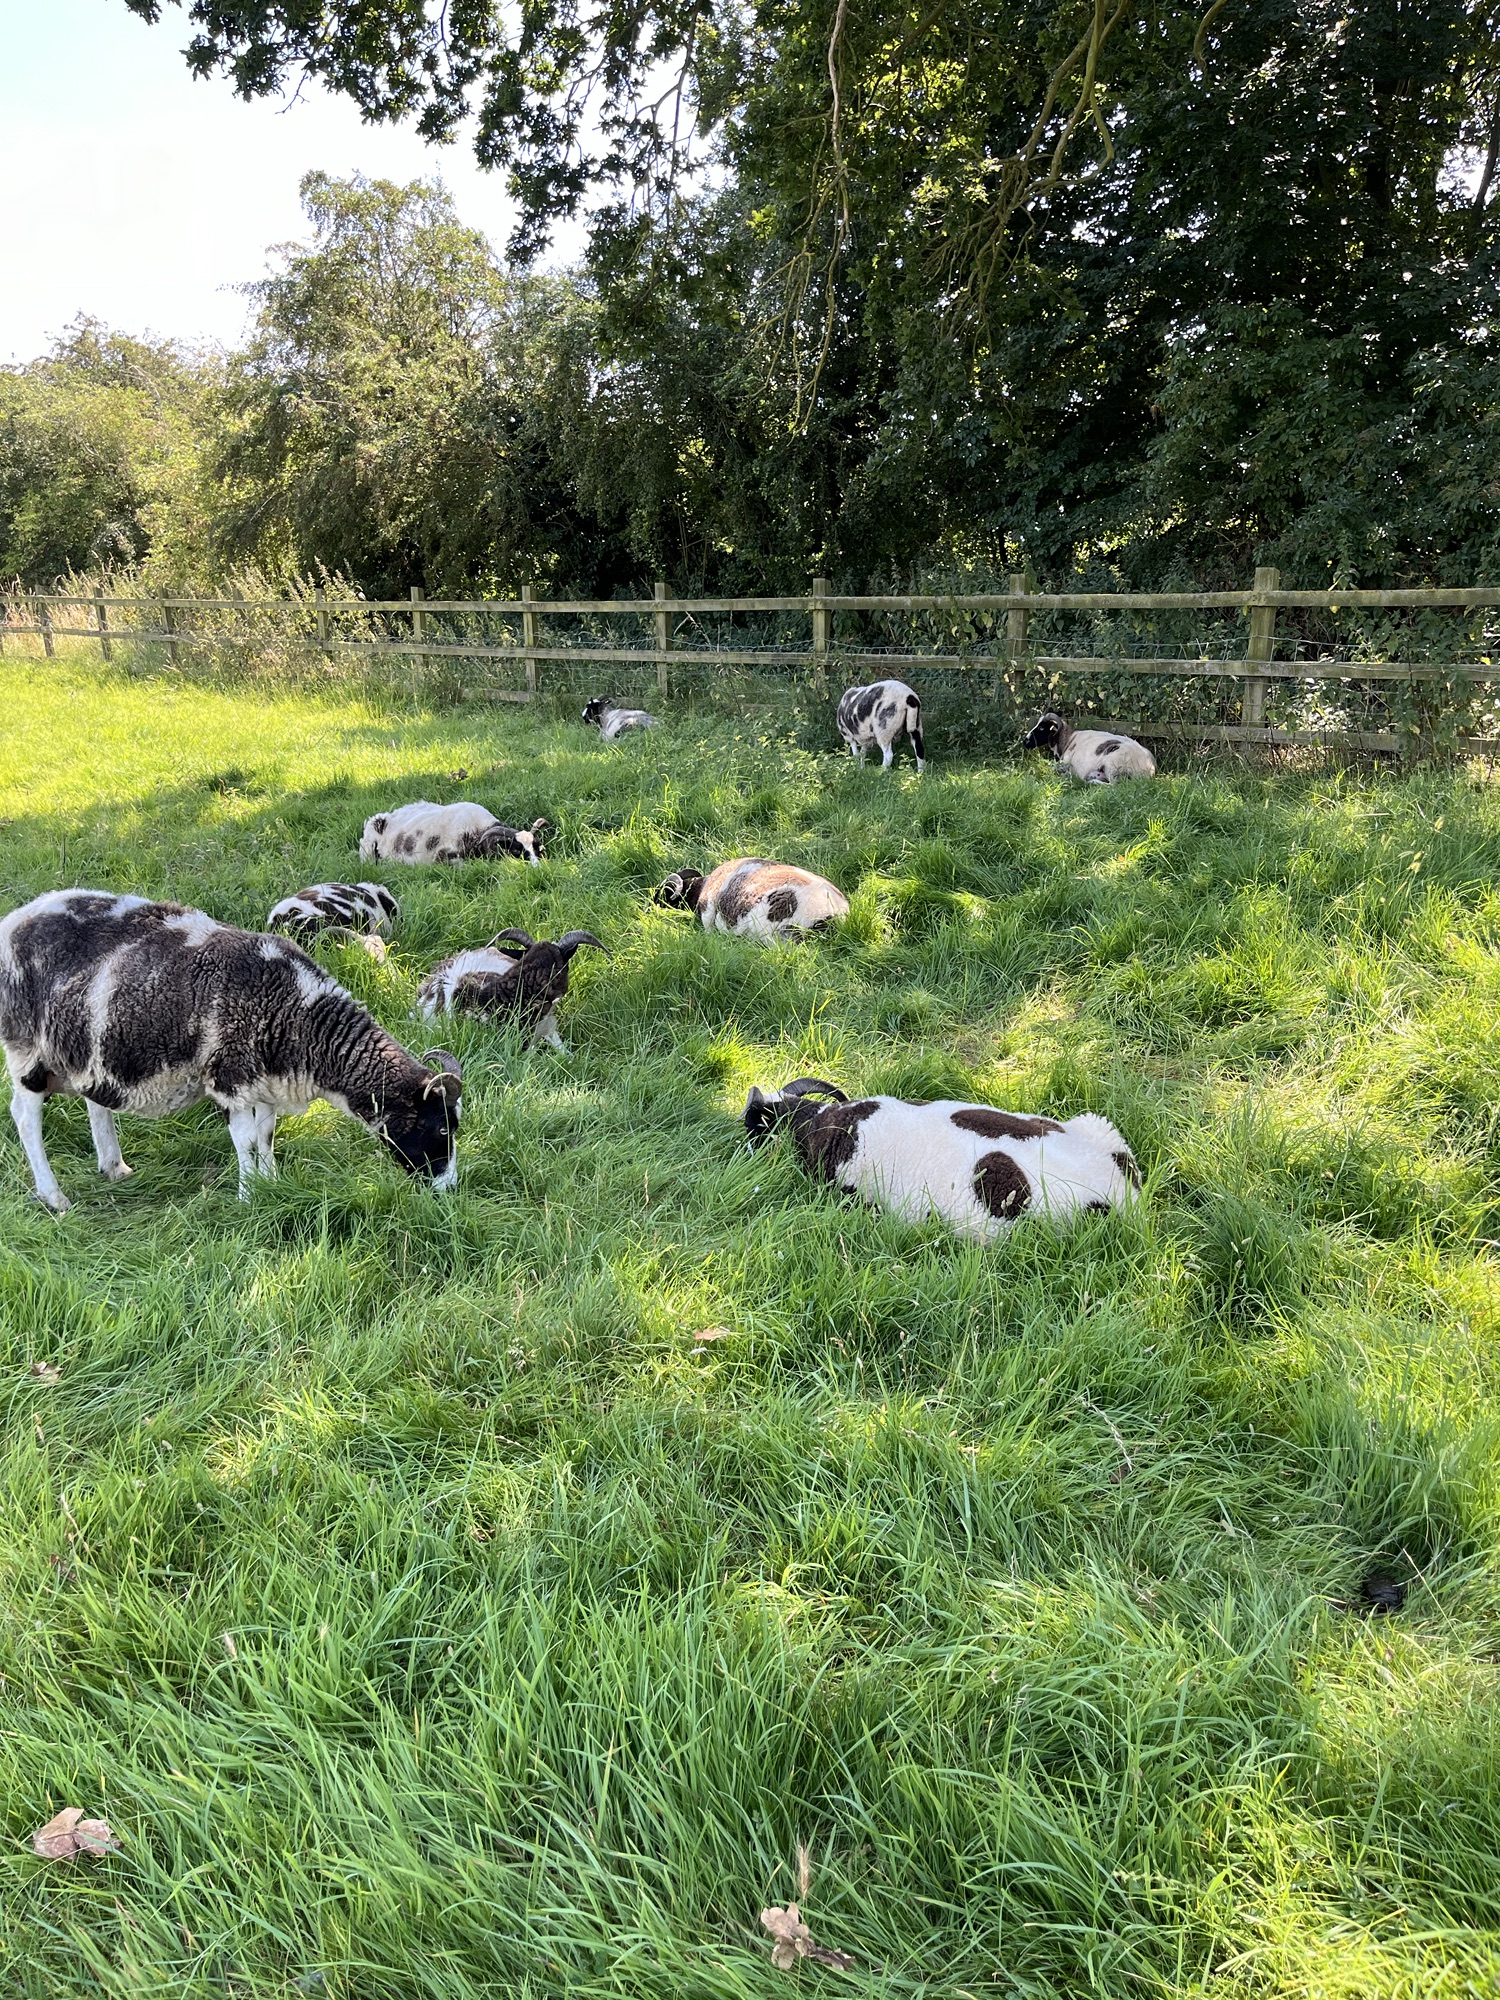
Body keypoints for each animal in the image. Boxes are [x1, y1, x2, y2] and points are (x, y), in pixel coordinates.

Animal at [0, 889, 463, 1213]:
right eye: (442, 1129)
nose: (448, 1189)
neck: (297, 1012)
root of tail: (15, 919)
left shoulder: (267, 1084)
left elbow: (266, 1135)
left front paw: (271, 1183)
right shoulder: (231, 1079)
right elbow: (244, 1140)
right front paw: (248, 1195)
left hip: (88, 1049)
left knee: (95, 1101)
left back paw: (115, 1167)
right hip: (25, 1049)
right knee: (25, 1116)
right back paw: (54, 1197)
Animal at [1022, 712, 1156, 784]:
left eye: (1041, 728)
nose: (1025, 741)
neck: (1068, 740)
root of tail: (1150, 768)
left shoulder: (1064, 764)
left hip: (1113, 767)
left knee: (1115, 786)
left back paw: (1092, 781)